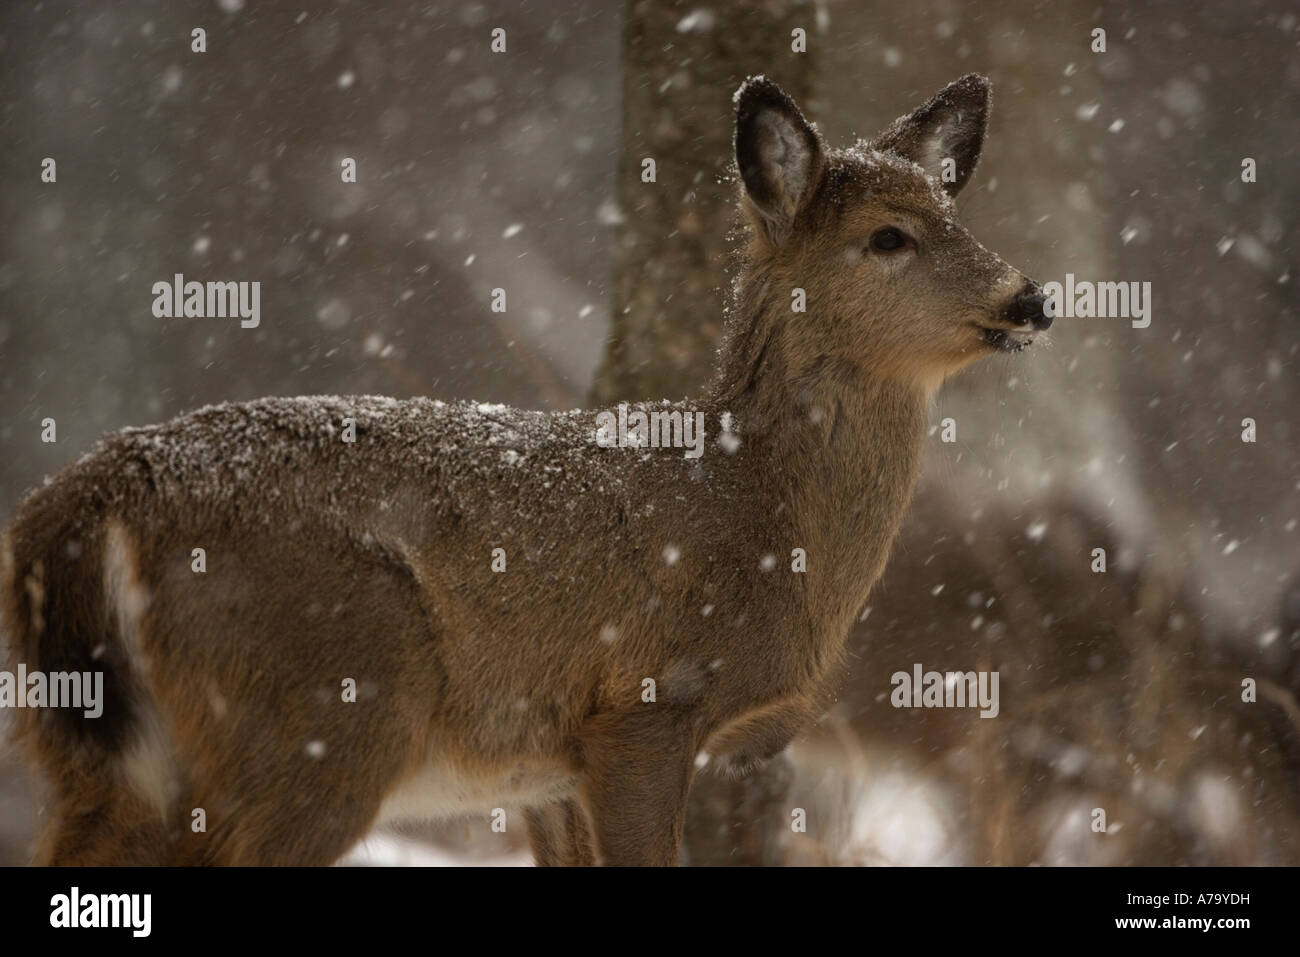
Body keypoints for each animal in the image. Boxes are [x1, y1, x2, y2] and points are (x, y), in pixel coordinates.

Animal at [1, 73, 1051, 866]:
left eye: (953, 212)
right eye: (887, 236)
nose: (1032, 297)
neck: (761, 516)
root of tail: (78, 504)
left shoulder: (549, 769)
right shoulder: (645, 704)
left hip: (96, 755)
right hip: (320, 713)